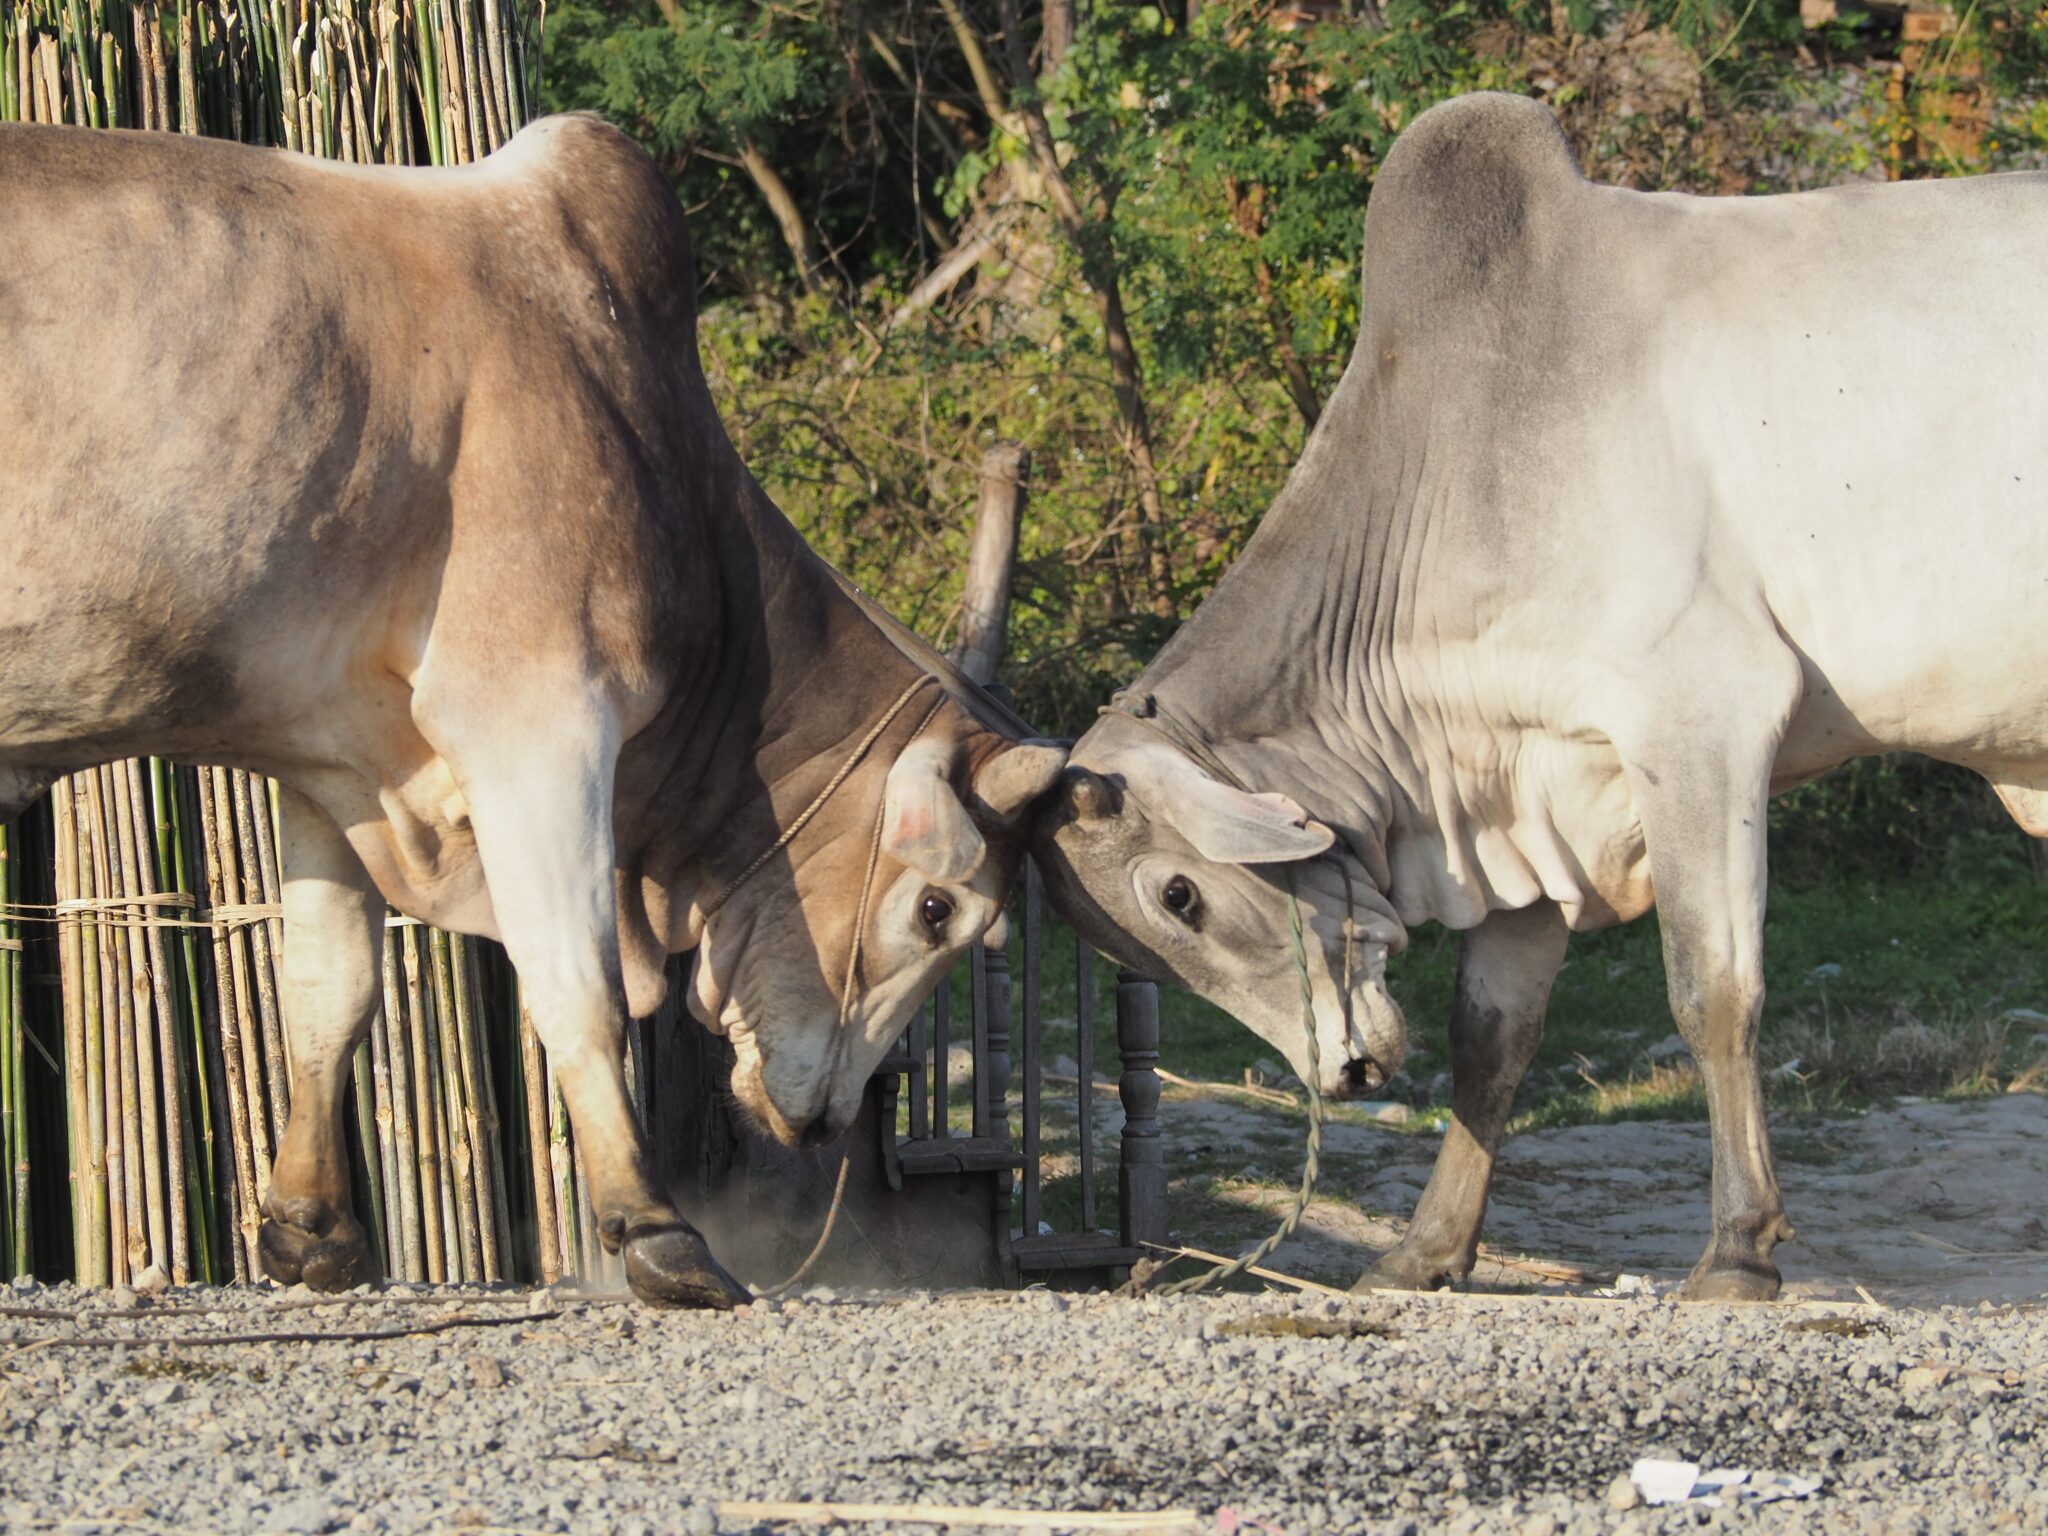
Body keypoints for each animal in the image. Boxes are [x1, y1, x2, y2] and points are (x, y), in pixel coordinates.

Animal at [0, 114, 1066, 1307]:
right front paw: (658, 1231)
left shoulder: (336, 755)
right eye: (937, 911)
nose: (823, 1121)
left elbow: (330, 990)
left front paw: (310, 1229)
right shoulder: (538, 722)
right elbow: (578, 987)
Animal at [1035, 91, 2048, 1302]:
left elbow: (1712, 994)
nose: (1347, 1072)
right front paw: (1424, 1253)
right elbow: (1491, 1038)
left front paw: (1737, 1249)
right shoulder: (1520, 788)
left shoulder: (1699, 719)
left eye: (1178, 896)